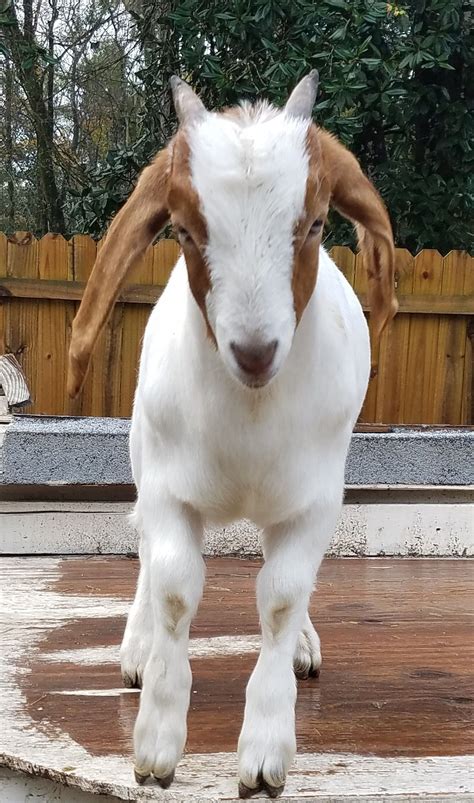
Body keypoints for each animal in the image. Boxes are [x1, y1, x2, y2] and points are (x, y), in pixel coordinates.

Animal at [68, 72, 397, 799]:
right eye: (184, 230)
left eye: (314, 223)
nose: (253, 352)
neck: (248, 416)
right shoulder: (169, 489)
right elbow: (173, 588)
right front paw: (157, 743)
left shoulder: (314, 501)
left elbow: (281, 596)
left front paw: (267, 753)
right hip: (141, 454)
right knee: (143, 550)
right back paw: (137, 649)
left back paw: (302, 644)